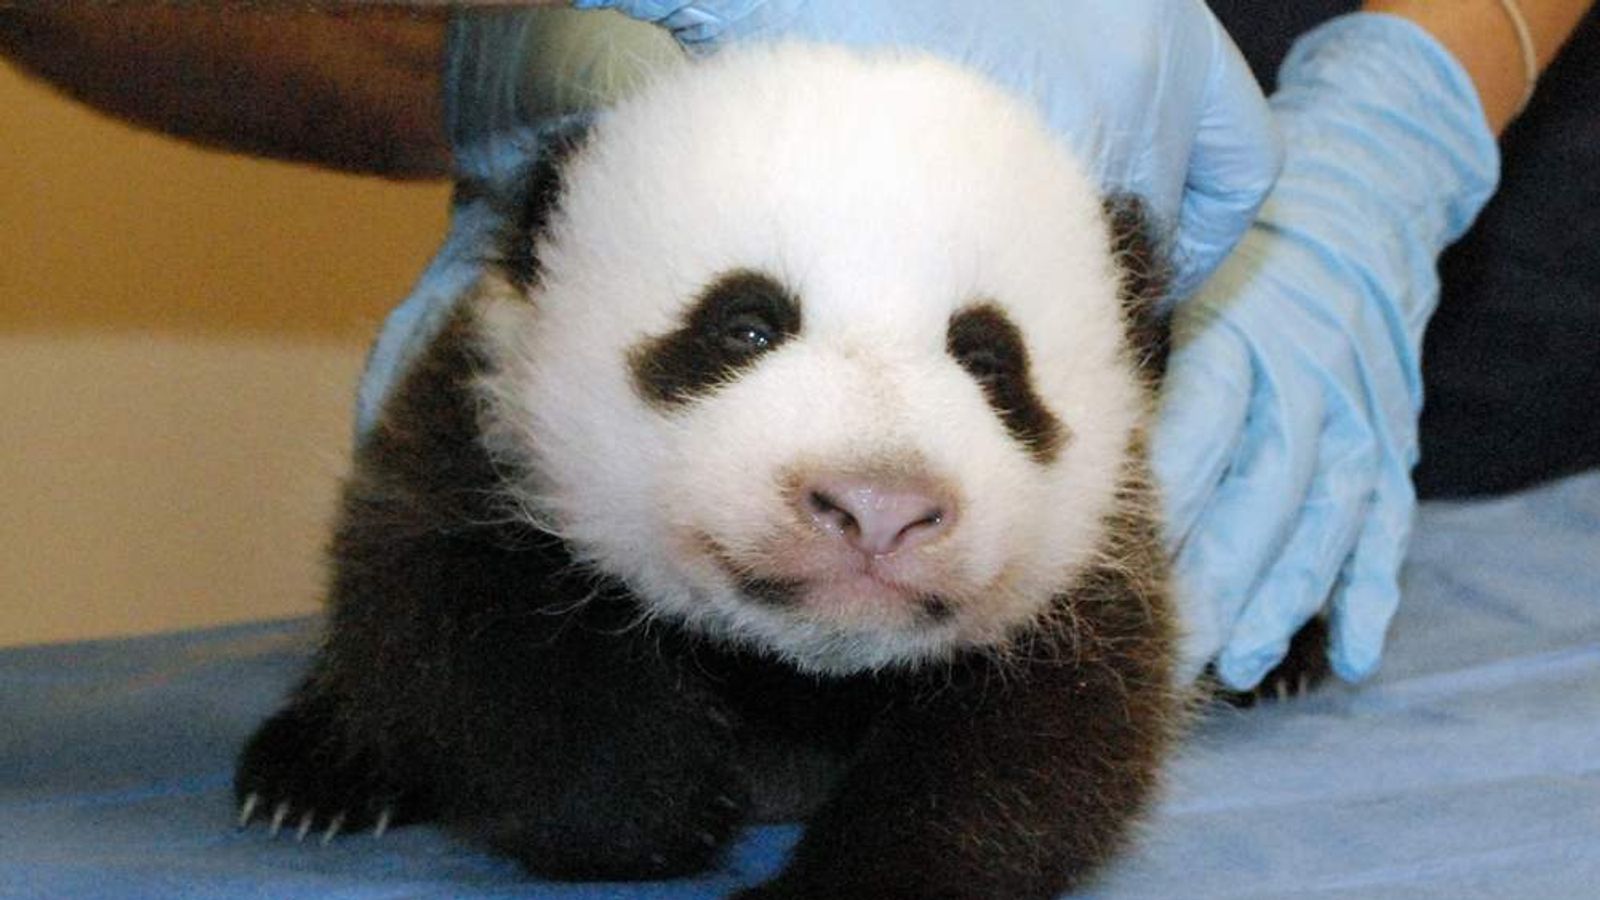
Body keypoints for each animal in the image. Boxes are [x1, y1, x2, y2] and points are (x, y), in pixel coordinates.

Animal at [235, 44, 1186, 899]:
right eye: (746, 327)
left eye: (989, 361)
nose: (877, 508)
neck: (797, 671)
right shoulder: (479, 431)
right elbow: (452, 620)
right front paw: (655, 799)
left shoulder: (1106, 552)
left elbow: (1045, 739)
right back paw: (312, 775)